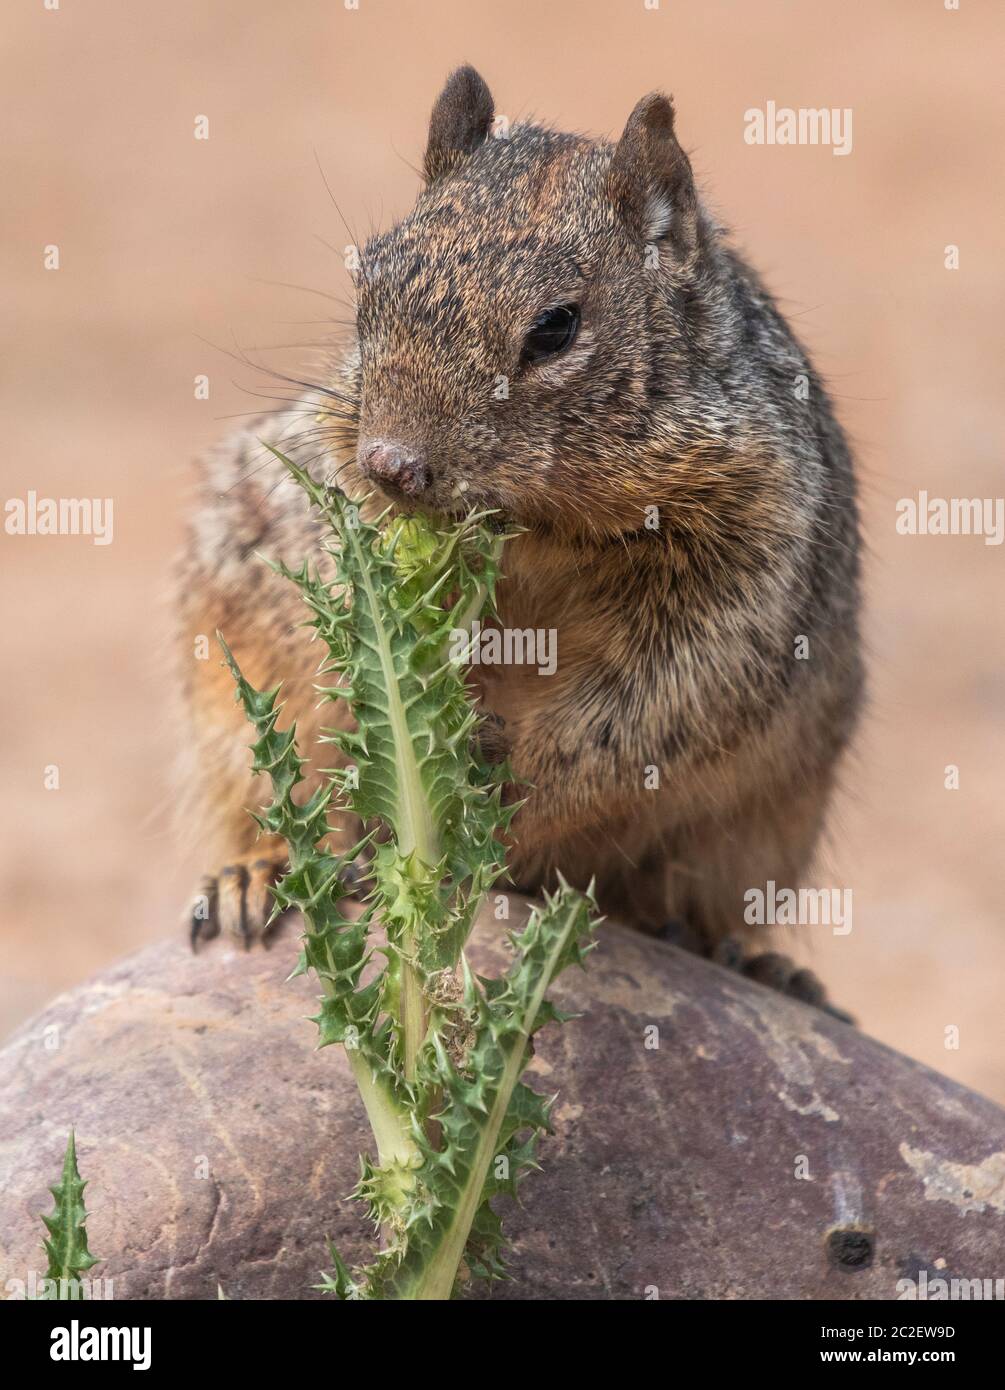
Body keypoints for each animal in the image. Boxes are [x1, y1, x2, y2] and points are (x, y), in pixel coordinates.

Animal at [176, 67, 863, 1010]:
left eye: (556, 327)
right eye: (368, 287)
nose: (391, 465)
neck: (542, 524)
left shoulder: (738, 574)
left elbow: (633, 721)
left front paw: (492, 779)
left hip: (762, 832)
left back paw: (752, 959)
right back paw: (255, 878)